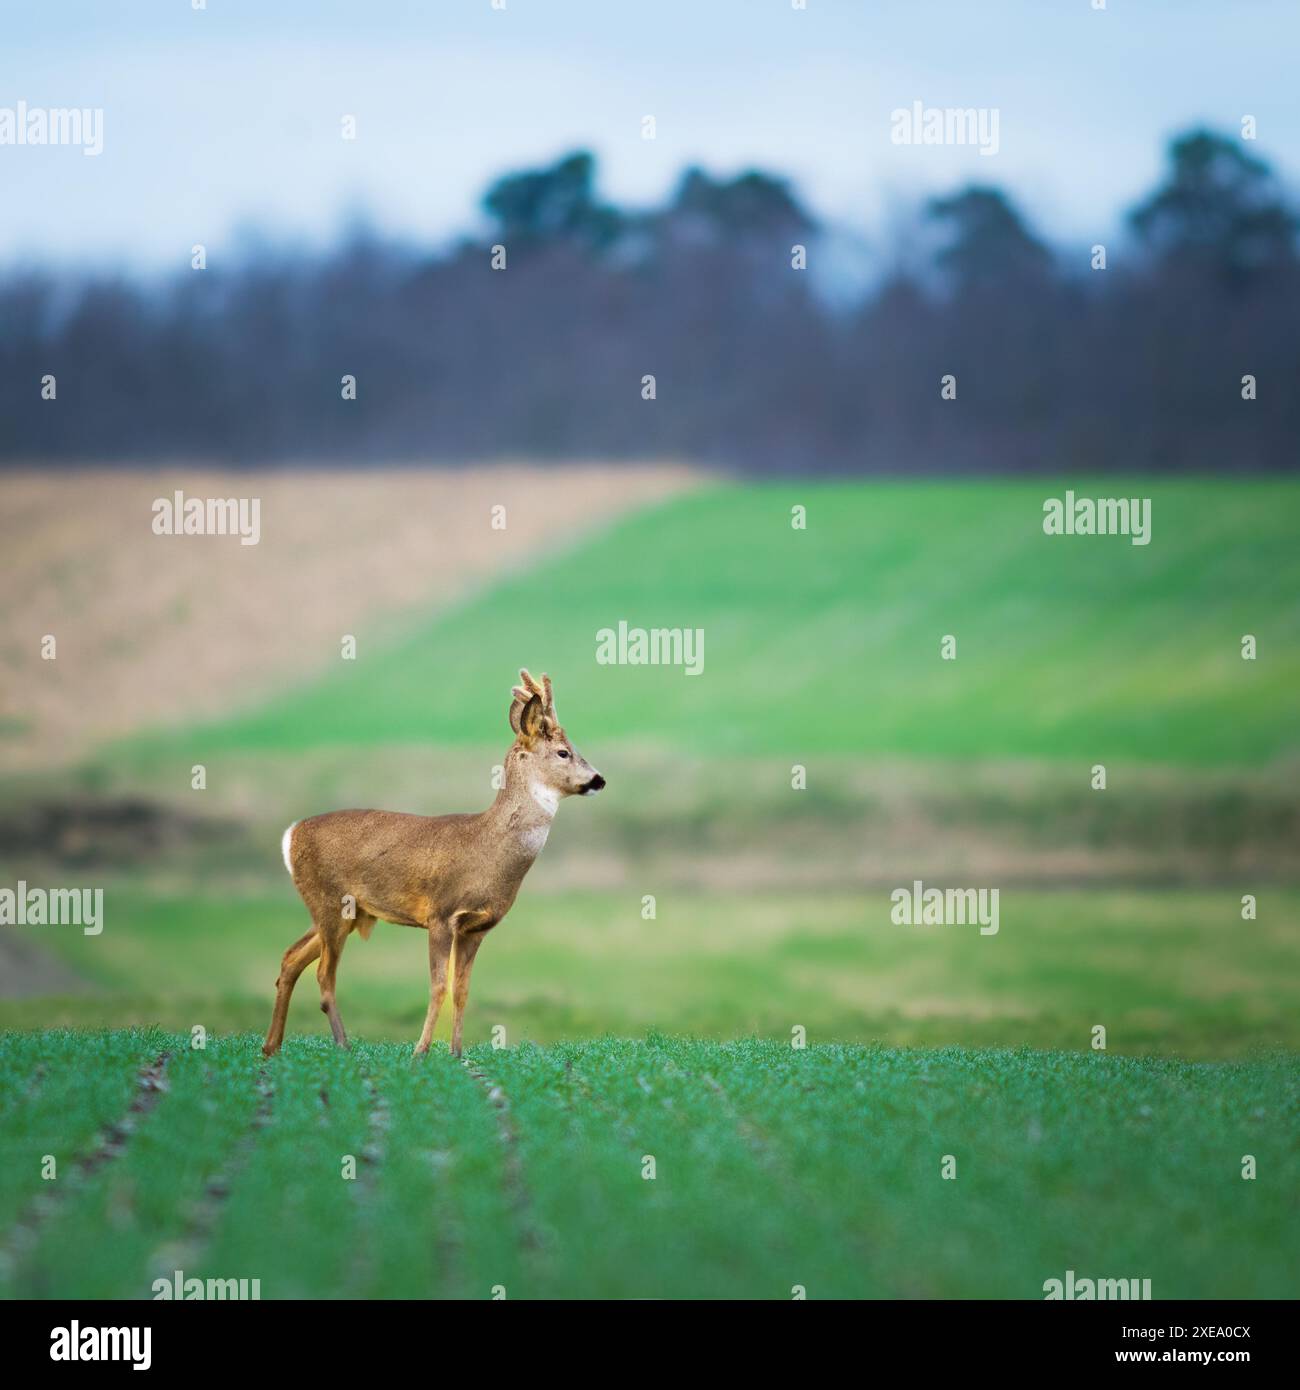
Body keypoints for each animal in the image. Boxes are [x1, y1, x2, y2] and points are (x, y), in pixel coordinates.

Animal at [262, 669, 604, 1059]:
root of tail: (291, 834)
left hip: (344, 912)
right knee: (323, 974)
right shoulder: (441, 914)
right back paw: (342, 1044)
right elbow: (438, 986)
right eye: (564, 752)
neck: (488, 849)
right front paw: (420, 1052)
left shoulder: (477, 927)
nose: (599, 780)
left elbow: (462, 990)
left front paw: (456, 1053)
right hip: (329, 901)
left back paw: (271, 1047)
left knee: (291, 958)